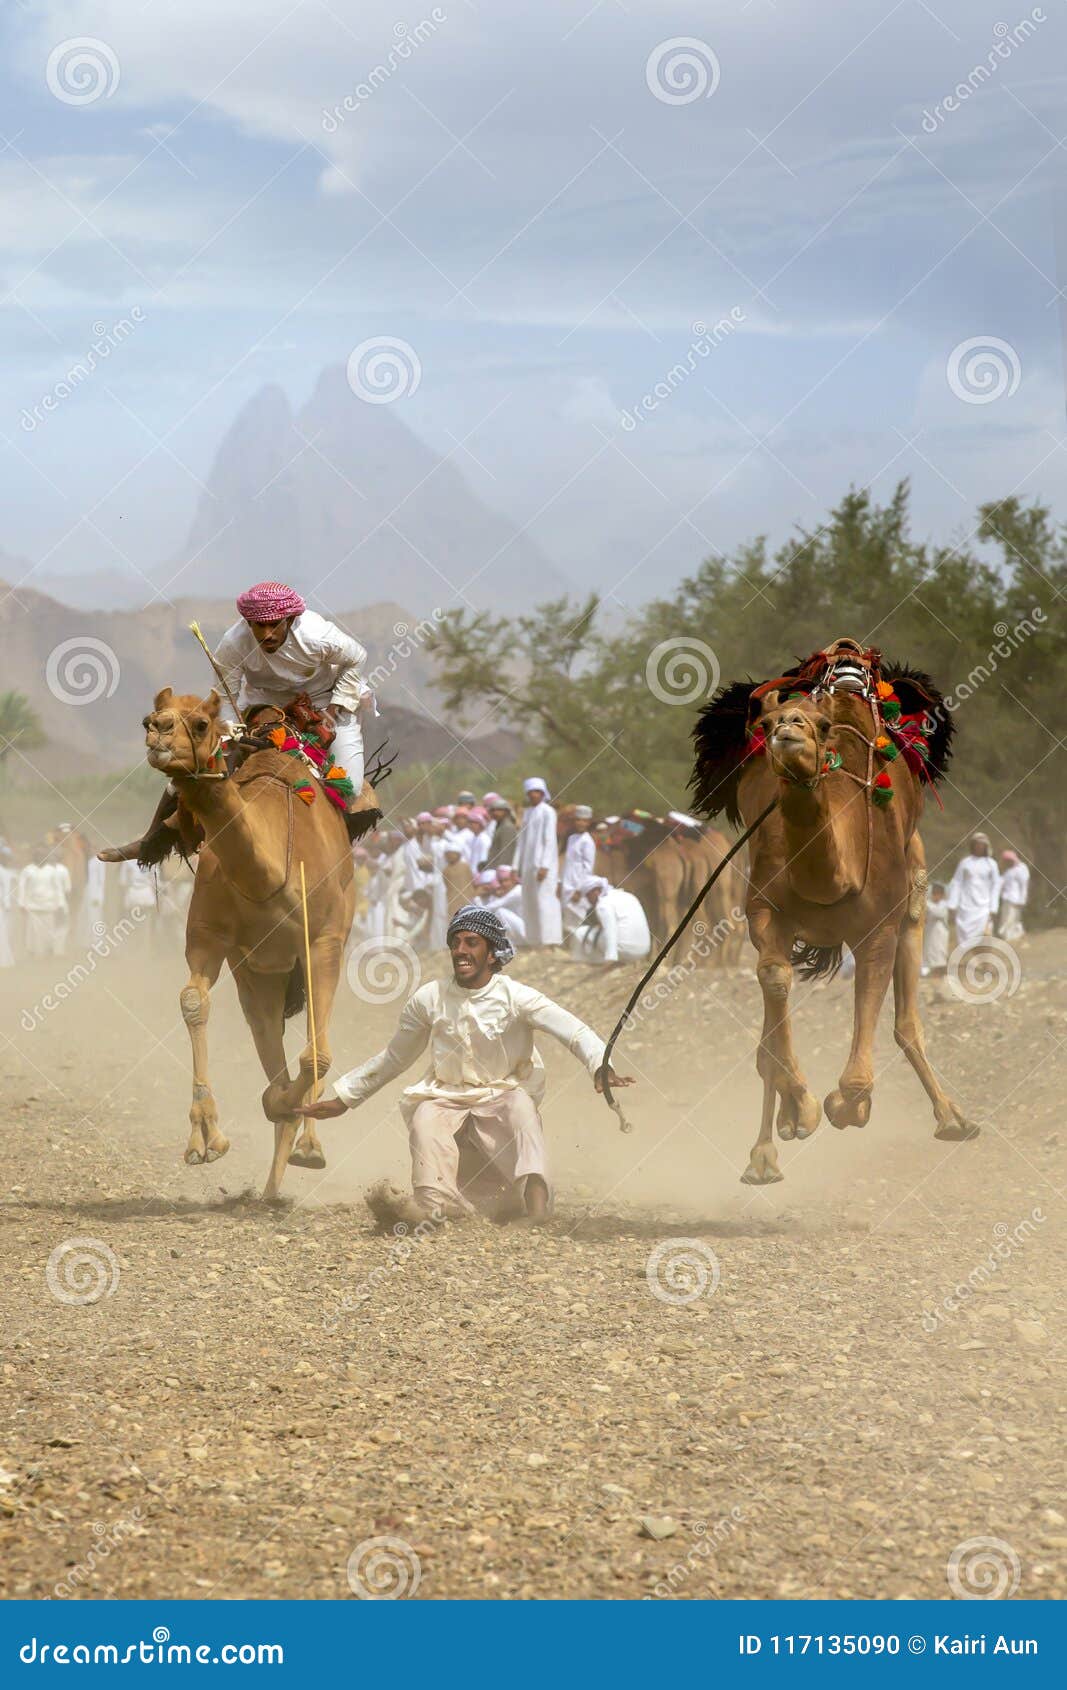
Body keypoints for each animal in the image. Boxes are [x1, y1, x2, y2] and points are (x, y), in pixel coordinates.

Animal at [140, 687, 361, 1199]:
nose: (158, 732)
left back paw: (305, 1147)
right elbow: (192, 1001)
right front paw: (205, 1138)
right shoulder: (210, 938)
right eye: (148, 717)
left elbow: (317, 1055)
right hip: (259, 972)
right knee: (270, 1042)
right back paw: (272, 1182)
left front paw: (294, 1124)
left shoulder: (324, 940)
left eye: (202, 723)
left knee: (309, 1046)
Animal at [690, 638, 976, 1185]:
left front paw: (847, 1105)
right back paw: (764, 1154)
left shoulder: (878, 925)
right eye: (765, 724)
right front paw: (799, 1108)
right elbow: (774, 986)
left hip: (914, 885)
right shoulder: (765, 914)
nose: (788, 728)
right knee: (770, 1025)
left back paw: (953, 1117)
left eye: (820, 726)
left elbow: (865, 1047)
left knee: (907, 1018)